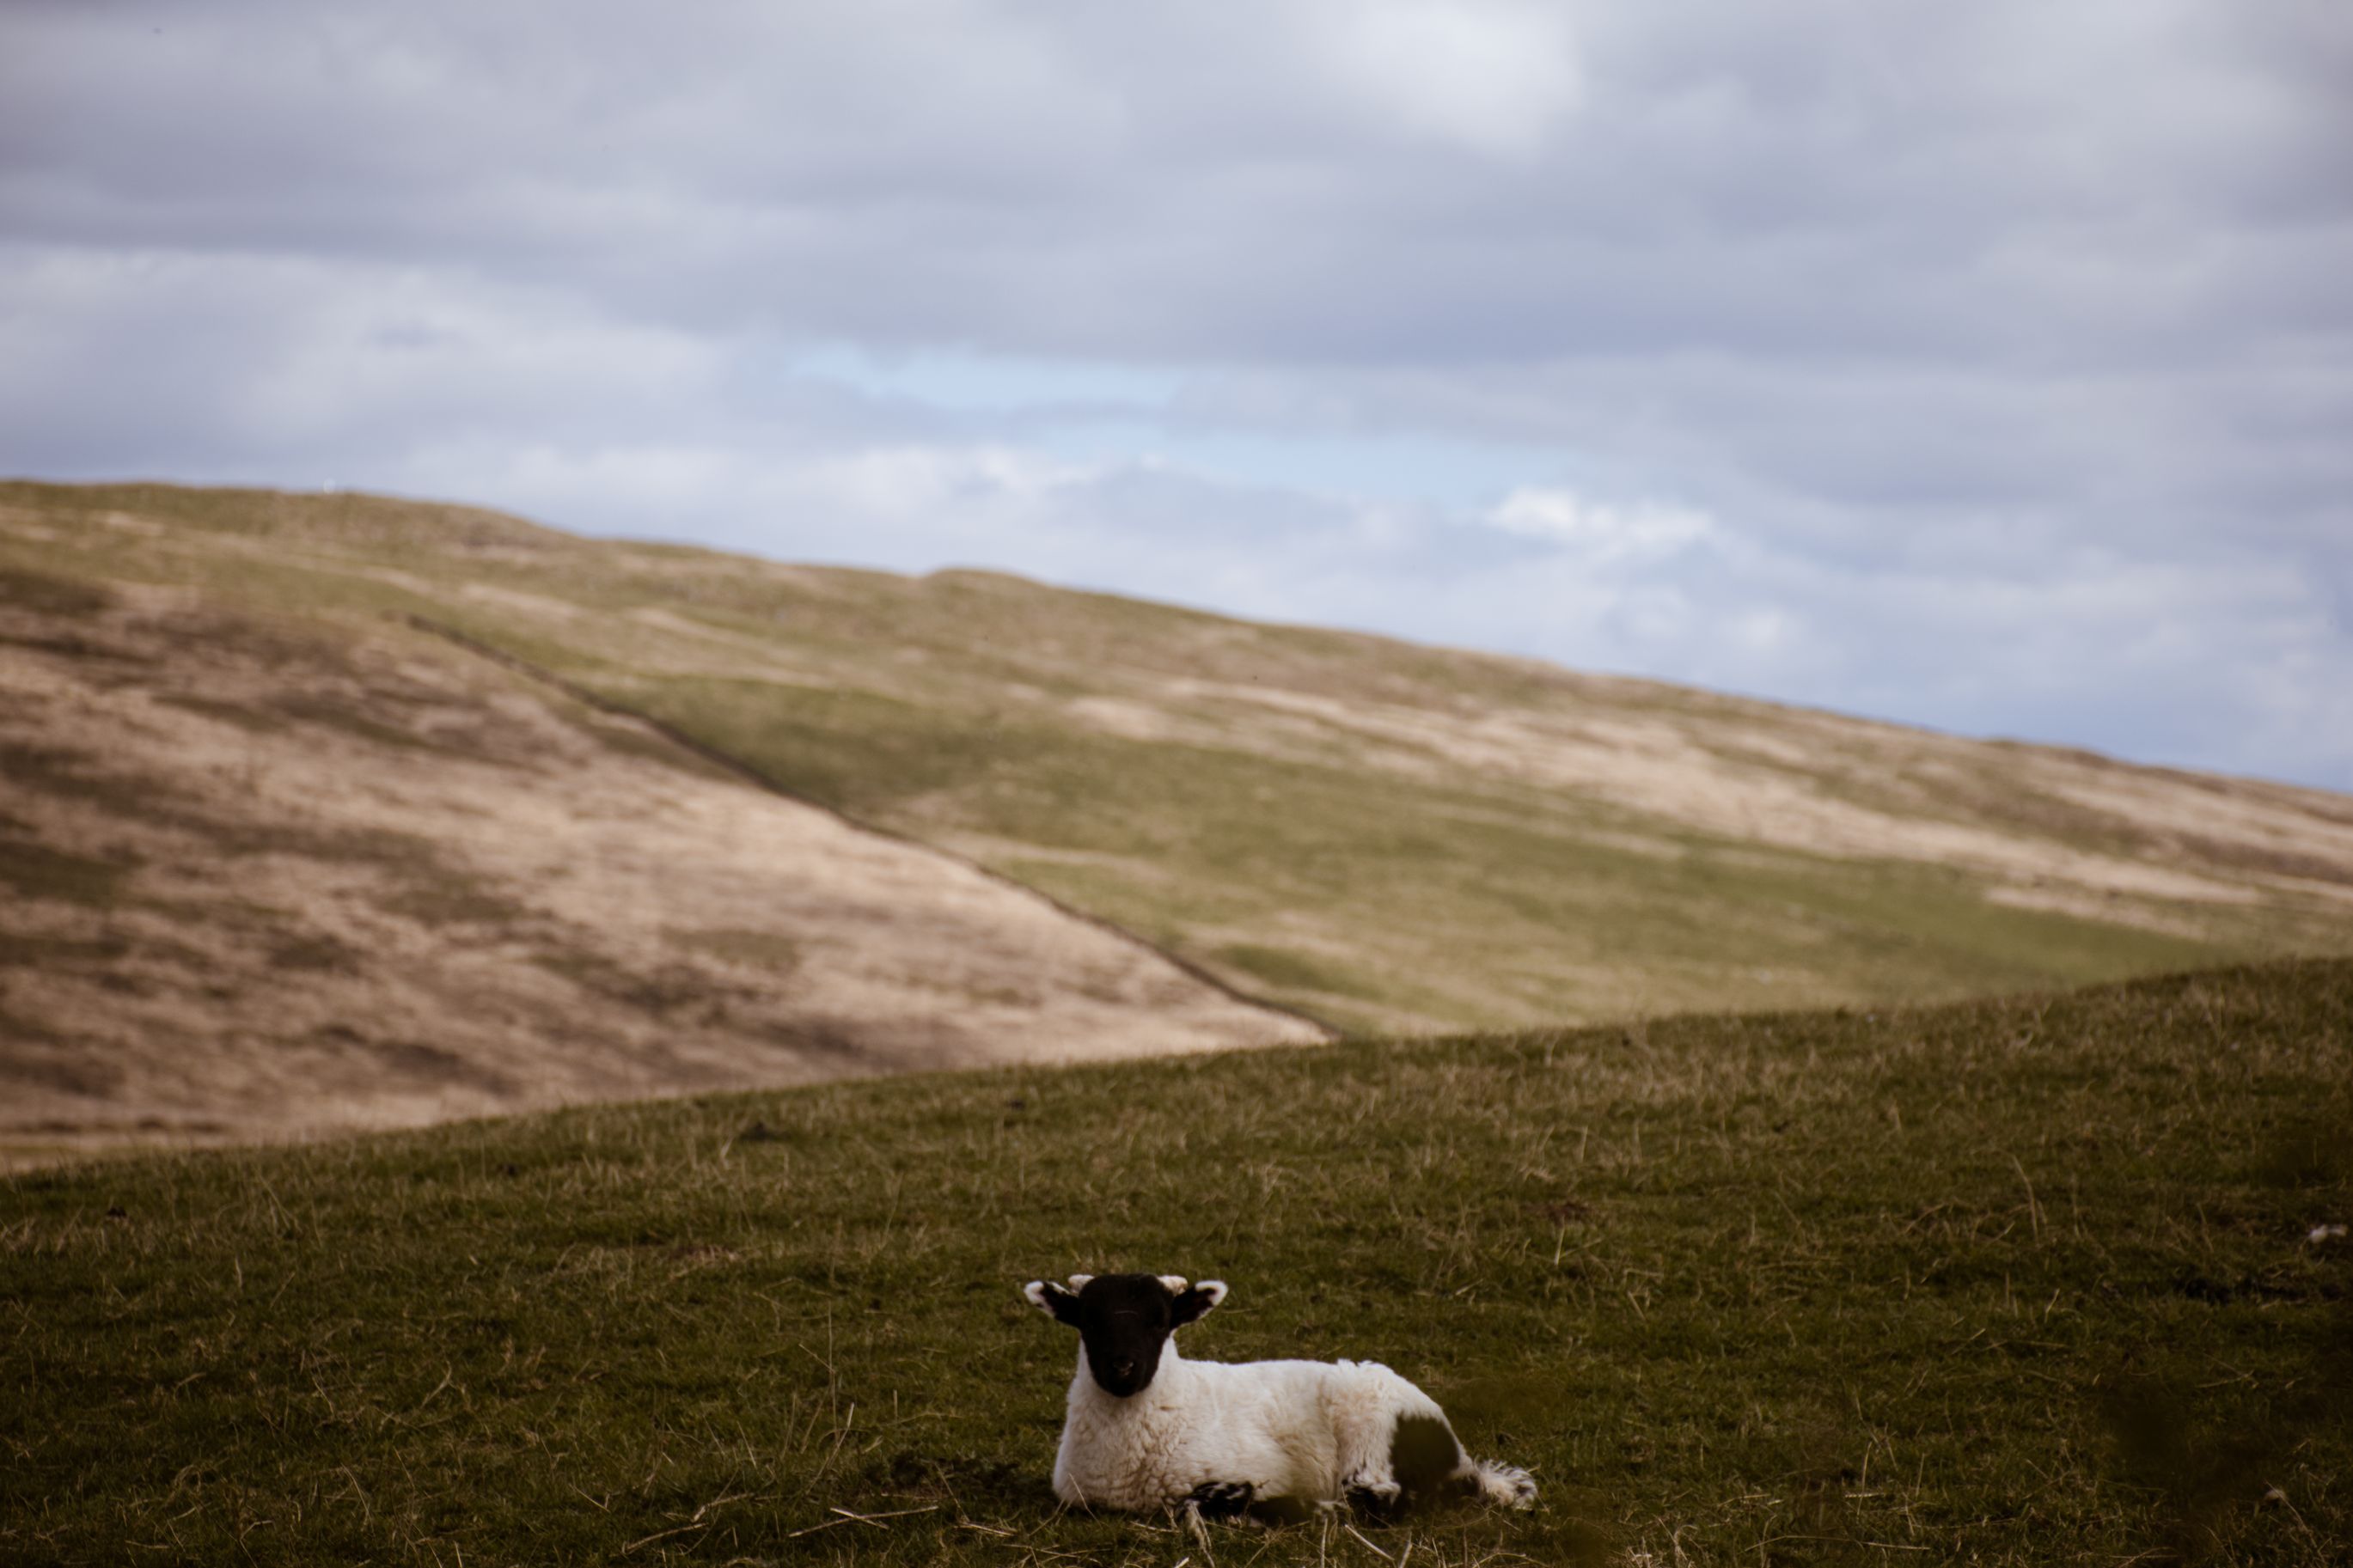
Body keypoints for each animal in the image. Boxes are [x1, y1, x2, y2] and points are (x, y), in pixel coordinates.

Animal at [1022, 1272, 1537, 1525]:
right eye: (1088, 1321)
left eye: (1161, 1321)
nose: (1123, 1368)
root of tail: (1462, 1459)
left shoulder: (1247, 1467)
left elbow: (1197, 1501)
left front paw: (1246, 1502)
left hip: (1372, 1431)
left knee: (1382, 1500)